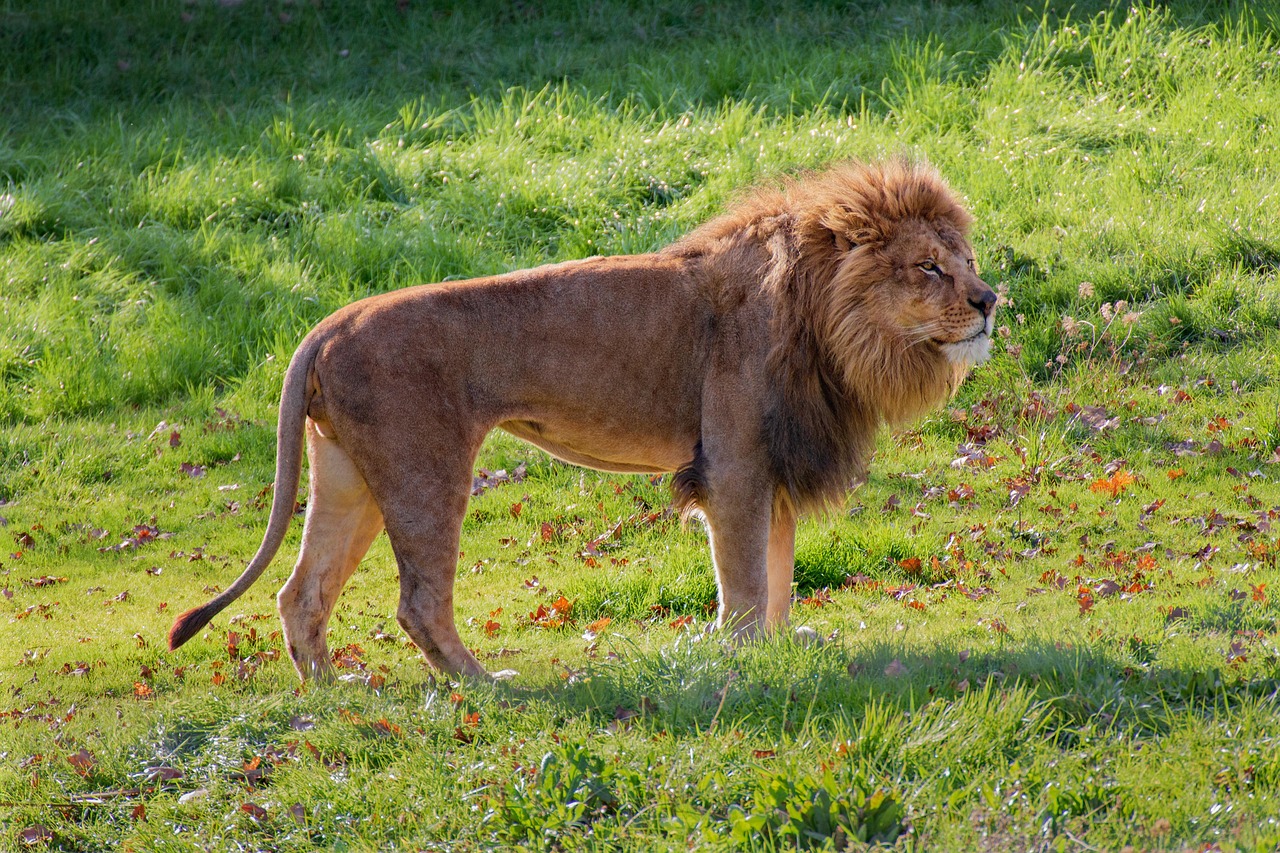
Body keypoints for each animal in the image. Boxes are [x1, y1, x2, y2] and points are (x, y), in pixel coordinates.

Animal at [168, 158, 996, 682]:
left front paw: (784, 643)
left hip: (347, 475)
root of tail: (329, 322)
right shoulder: (734, 465)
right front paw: (745, 657)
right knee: (419, 601)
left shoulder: (776, 462)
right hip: (425, 469)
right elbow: (746, 578)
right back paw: (483, 683)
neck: (830, 322)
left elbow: (780, 570)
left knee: (301, 593)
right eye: (929, 267)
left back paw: (331, 694)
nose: (991, 299)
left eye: (966, 256)